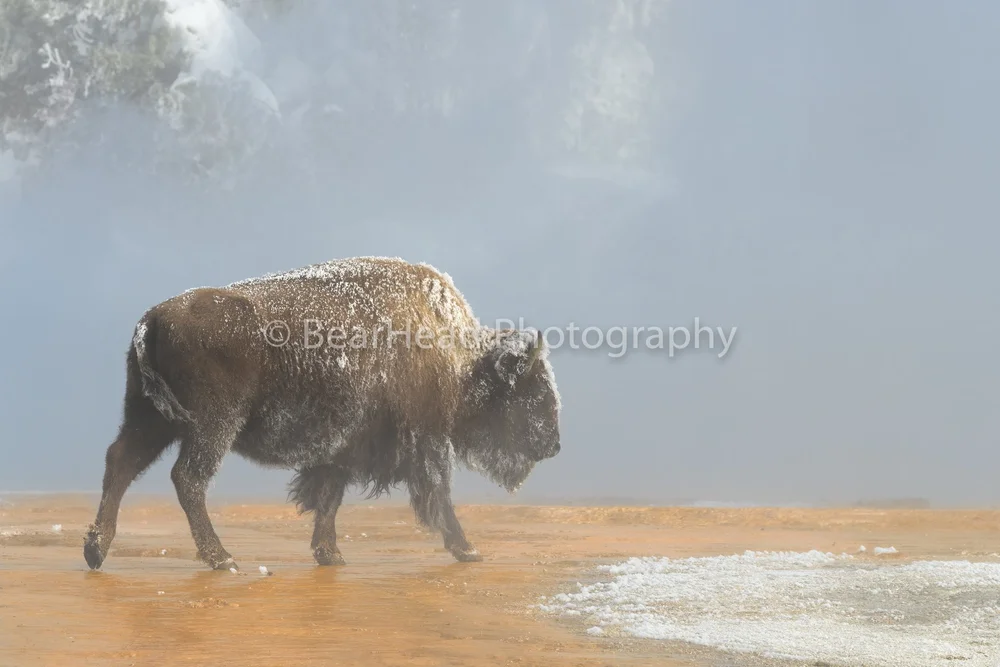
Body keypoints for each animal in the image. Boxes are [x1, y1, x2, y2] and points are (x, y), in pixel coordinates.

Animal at [84, 257, 561, 571]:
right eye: (534, 390)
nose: (554, 444)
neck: (456, 356)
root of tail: (152, 318)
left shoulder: (342, 450)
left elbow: (329, 499)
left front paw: (330, 554)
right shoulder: (424, 442)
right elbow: (438, 495)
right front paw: (467, 549)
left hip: (152, 419)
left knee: (121, 462)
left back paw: (96, 550)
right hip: (211, 426)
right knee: (187, 478)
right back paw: (222, 559)